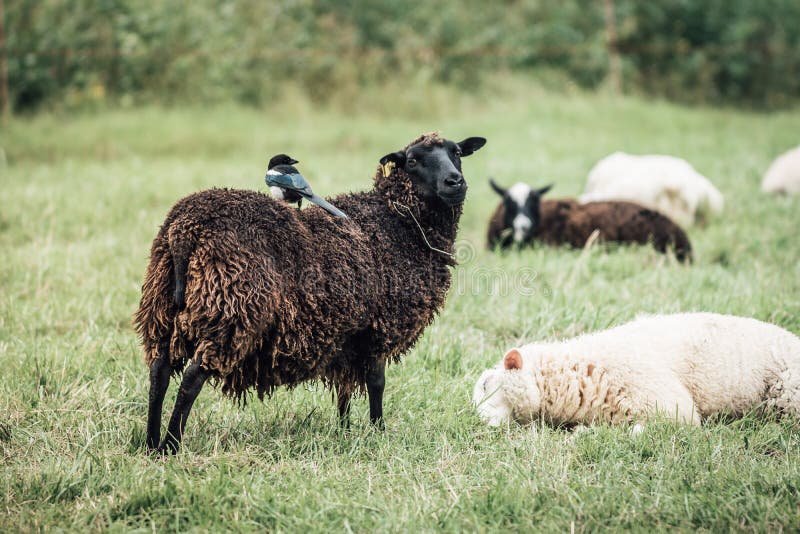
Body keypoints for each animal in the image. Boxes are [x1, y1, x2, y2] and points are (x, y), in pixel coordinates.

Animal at [134, 132, 487, 454]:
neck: (397, 222)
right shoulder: (379, 327)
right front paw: (378, 430)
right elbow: (377, 383)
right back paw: (170, 445)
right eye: (412, 161)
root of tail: (186, 231)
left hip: (161, 306)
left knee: (159, 372)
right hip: (230, 311)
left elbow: (345, 389)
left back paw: (150, 443)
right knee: (191, 378)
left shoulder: (349, 334)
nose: (455, 181)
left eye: (456, 153)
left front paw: (345, 430)